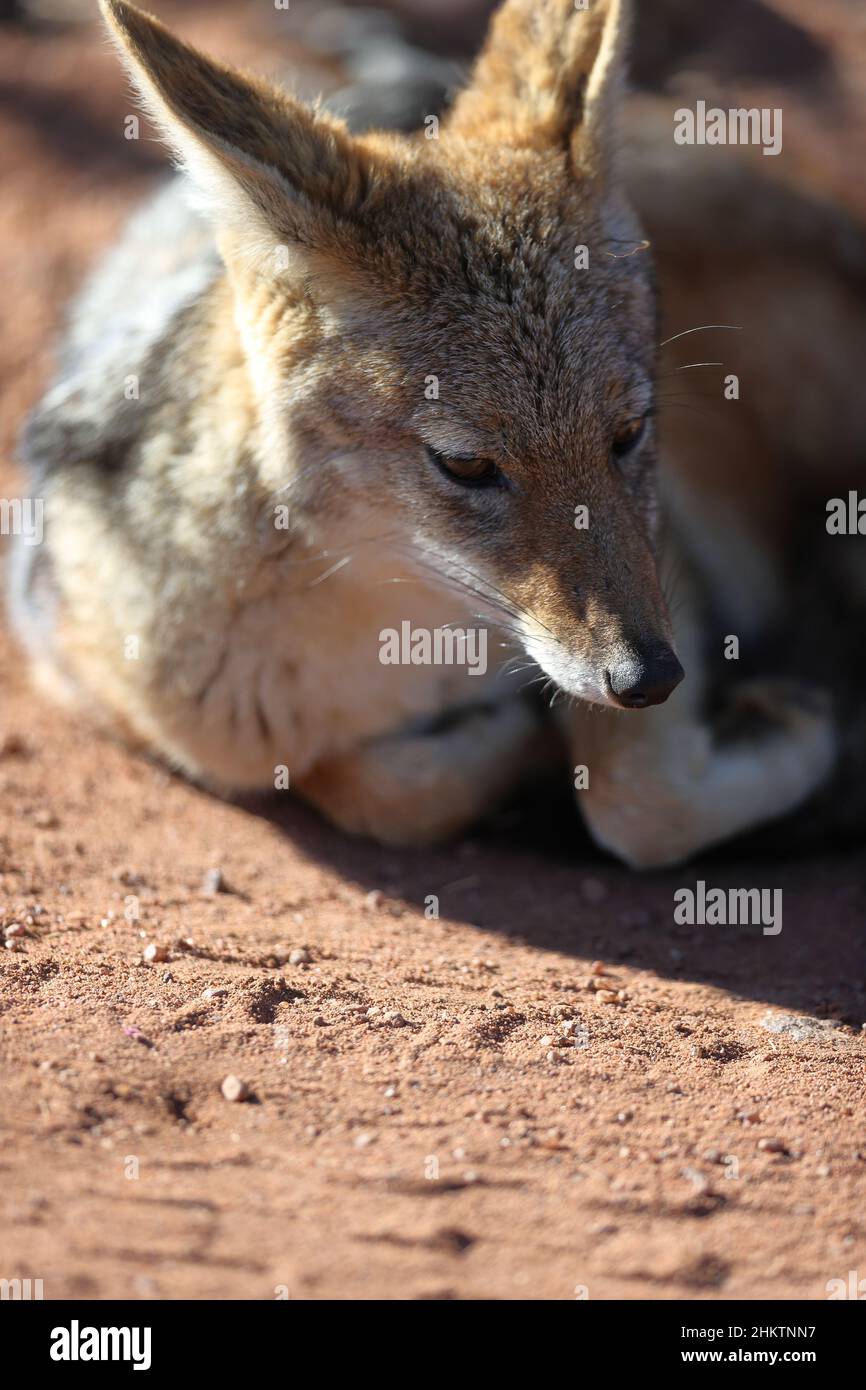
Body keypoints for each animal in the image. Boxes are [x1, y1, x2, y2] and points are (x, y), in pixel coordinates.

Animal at [9, 0, 866, 864]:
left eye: (628, 433)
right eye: (467, 465)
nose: (650, 678)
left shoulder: (671, 550)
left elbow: (635, 802)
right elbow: (372, 788)